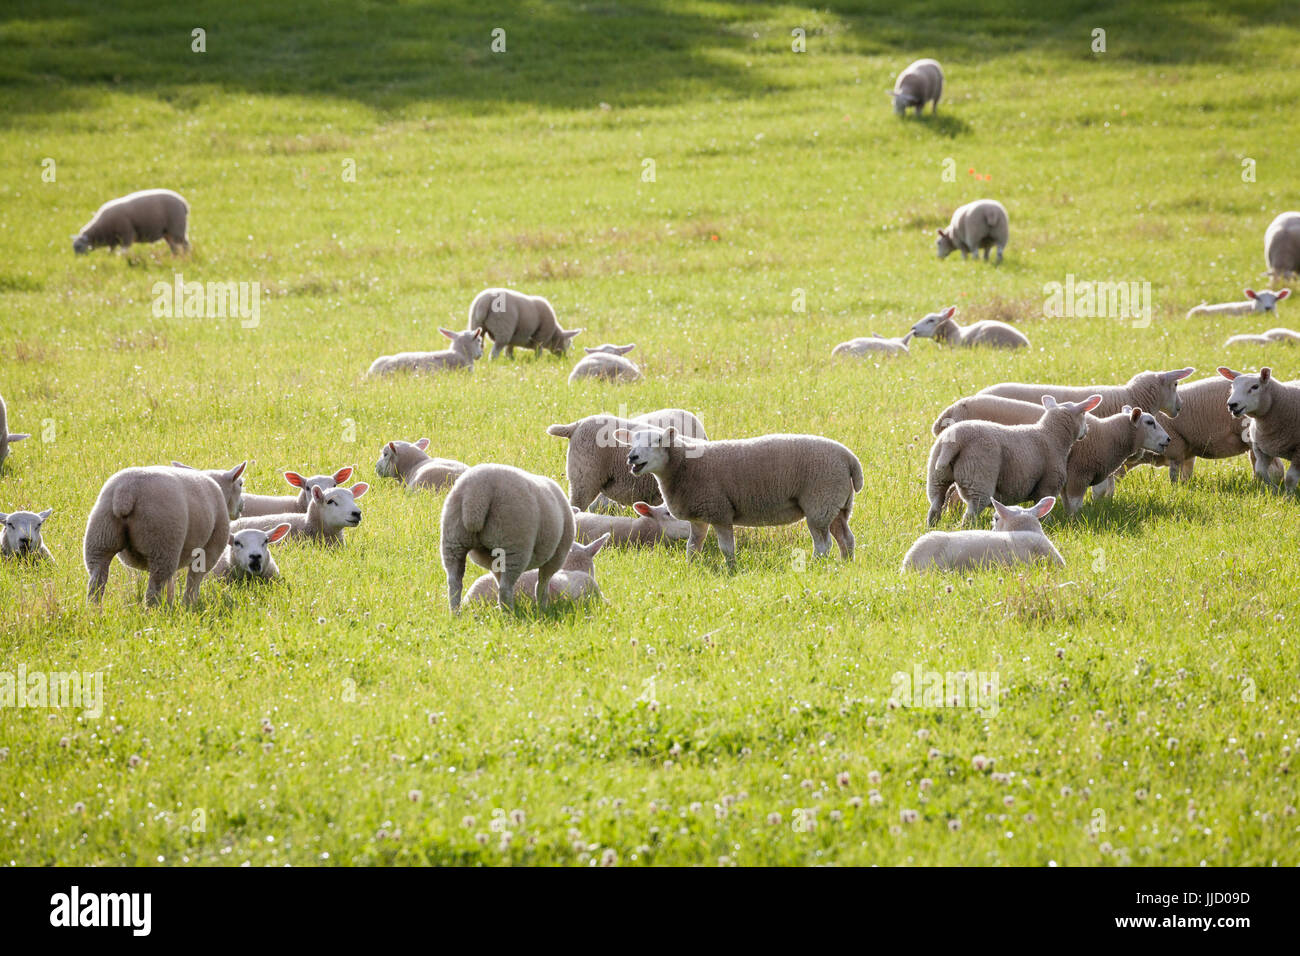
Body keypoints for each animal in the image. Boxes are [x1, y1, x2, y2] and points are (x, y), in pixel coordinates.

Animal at [83, 462, 246, 606]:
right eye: (240, 484)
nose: (242, 507)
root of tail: (127, 490)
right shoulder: (210, 549)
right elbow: (193, 581)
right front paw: (189, 606)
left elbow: (170, 583)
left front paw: (169, 603)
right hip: (163, 542)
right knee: (152, 591)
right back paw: (153, 614)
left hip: (101, 537)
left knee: (96, 583)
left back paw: (94, 613)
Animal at [440, 463, 576, 612]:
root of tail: (477, 492)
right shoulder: (557, 555)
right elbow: (542, 584)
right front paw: (542, 608)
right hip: (512, 544)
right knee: (506, 588)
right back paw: (509, 613)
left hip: (453, 541)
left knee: (454, 582)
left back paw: (455, 612)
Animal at [612, 427, 863, 569]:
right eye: (631, 443)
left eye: (656, 442)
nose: (632, 457)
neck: (684, 465)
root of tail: (850, 458)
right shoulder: (699, 515)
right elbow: (693, 547)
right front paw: (690, 568)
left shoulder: (719, 510)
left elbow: (726, 548)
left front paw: (731, 569)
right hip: (837, 505)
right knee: (846, 538)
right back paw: (846, 564)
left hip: (819, 501)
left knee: (823, 544)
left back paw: (816, 566)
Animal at [925, 395, 1101, 526]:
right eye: (1083, 415)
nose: (1086, 432)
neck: (1051, 435)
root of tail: (955, 441)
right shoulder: (1048, 484)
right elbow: (1045, 508)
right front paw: (1048, 525)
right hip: (979, 479)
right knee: (970, 515)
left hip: (937, 476)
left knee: (935, 506)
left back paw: (931, 527)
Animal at [930, 396, 1170, 513]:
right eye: (1150, 422)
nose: (1167, 440)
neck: (1107, 435)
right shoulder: (1077, 474)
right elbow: (1077, 502)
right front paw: (1073, 521)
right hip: (979, 476)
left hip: (939, 476)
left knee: (941, 500)